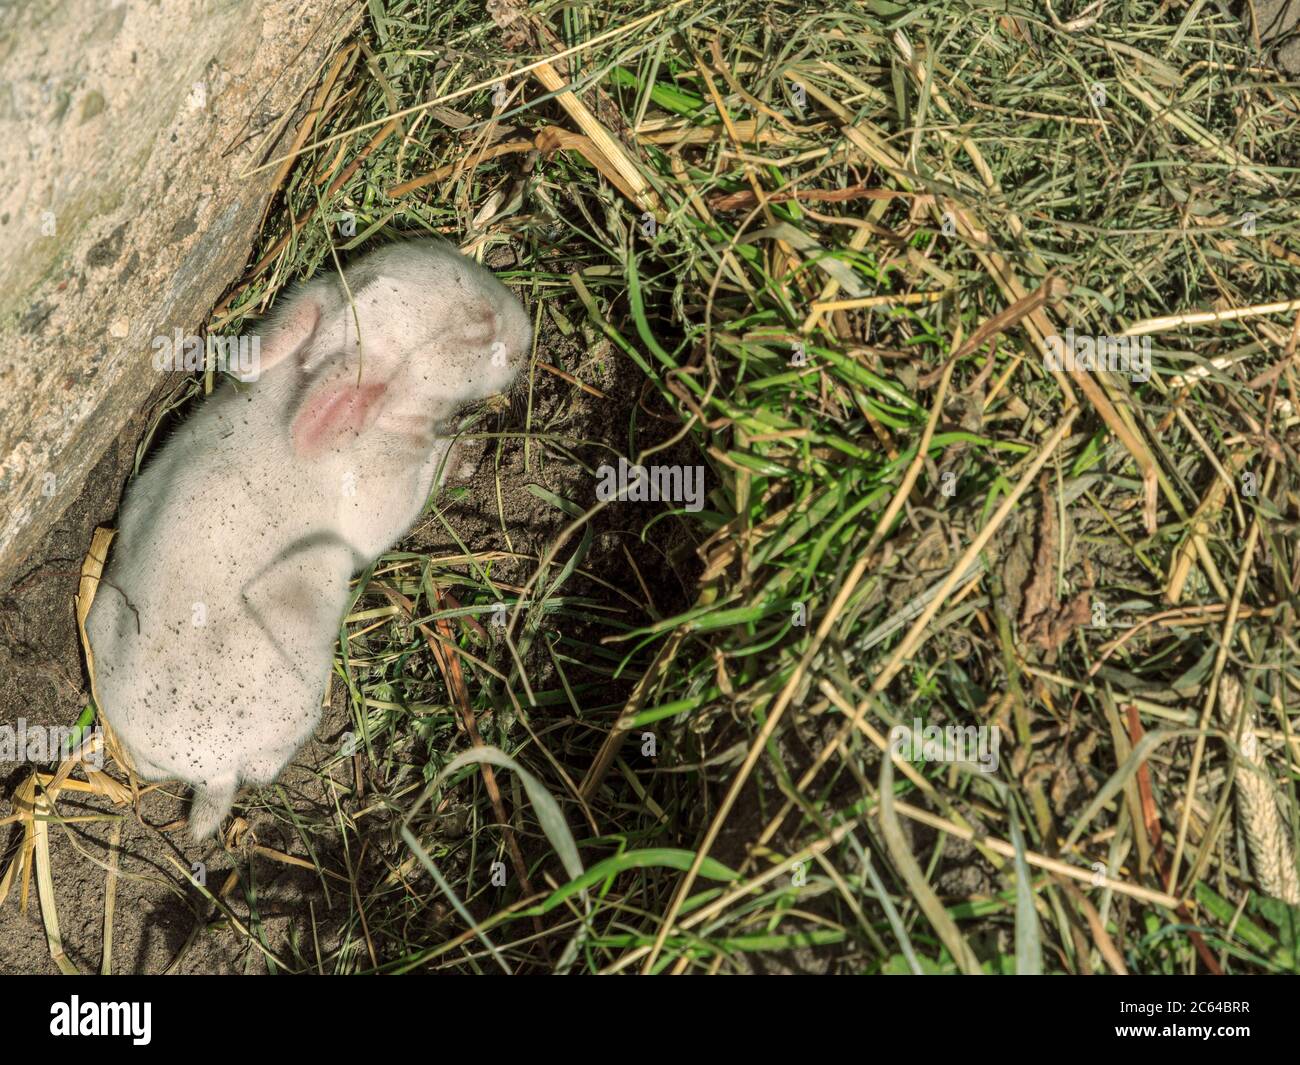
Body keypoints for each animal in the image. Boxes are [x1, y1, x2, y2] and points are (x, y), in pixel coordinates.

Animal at [85, 239, 531, 842]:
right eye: (477, 327)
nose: (525, 327)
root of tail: (209, 770)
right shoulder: (381, 496)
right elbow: (419, 481)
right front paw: (468, 451)